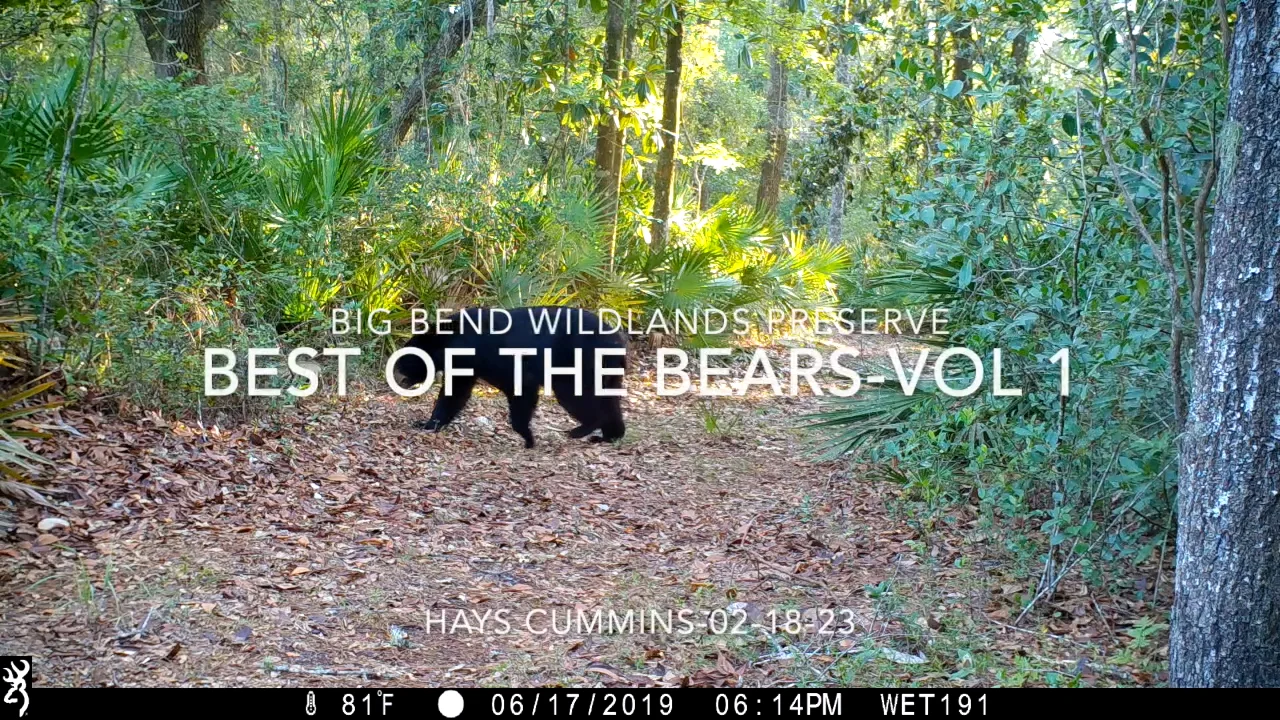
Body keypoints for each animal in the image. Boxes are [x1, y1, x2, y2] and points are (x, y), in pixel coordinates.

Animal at [390, 306, 627, 448]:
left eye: (403, 360)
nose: (396, 376)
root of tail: (618, 342)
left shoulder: (492, 357)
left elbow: (521, 386)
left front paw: (527, 438)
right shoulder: (465, 365)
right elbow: (454, 395)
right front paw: (427, 423)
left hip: (579, 363)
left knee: (577, 397)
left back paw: (580, 430)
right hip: (606, 371)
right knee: (609, 399)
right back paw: (609, 435)